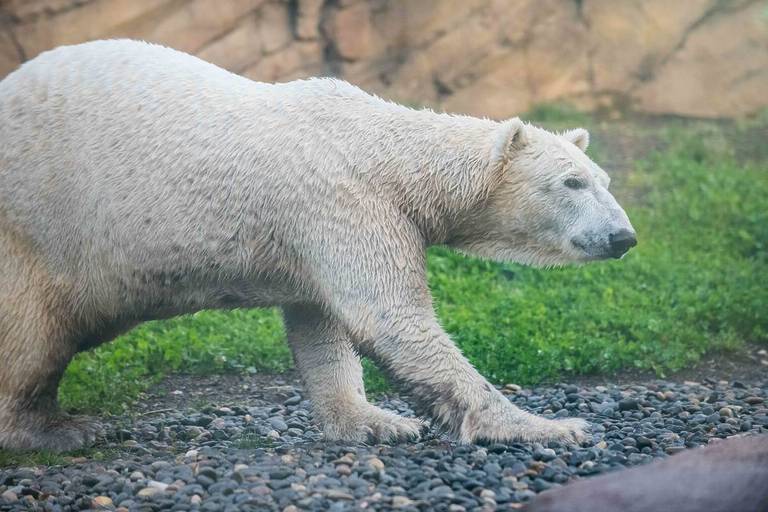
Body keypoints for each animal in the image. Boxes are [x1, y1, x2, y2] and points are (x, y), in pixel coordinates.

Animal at [0, 39, 636, 452]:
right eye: (571, 183)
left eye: (603, 178)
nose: (624, 237)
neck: (385, 150)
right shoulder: (343, 200)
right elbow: (392, 318)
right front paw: (551, 427)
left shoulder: (312, 232)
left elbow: (320, 326)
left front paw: (375, 421)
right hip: (33, 230)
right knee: (31, 336)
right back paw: (59, 430)